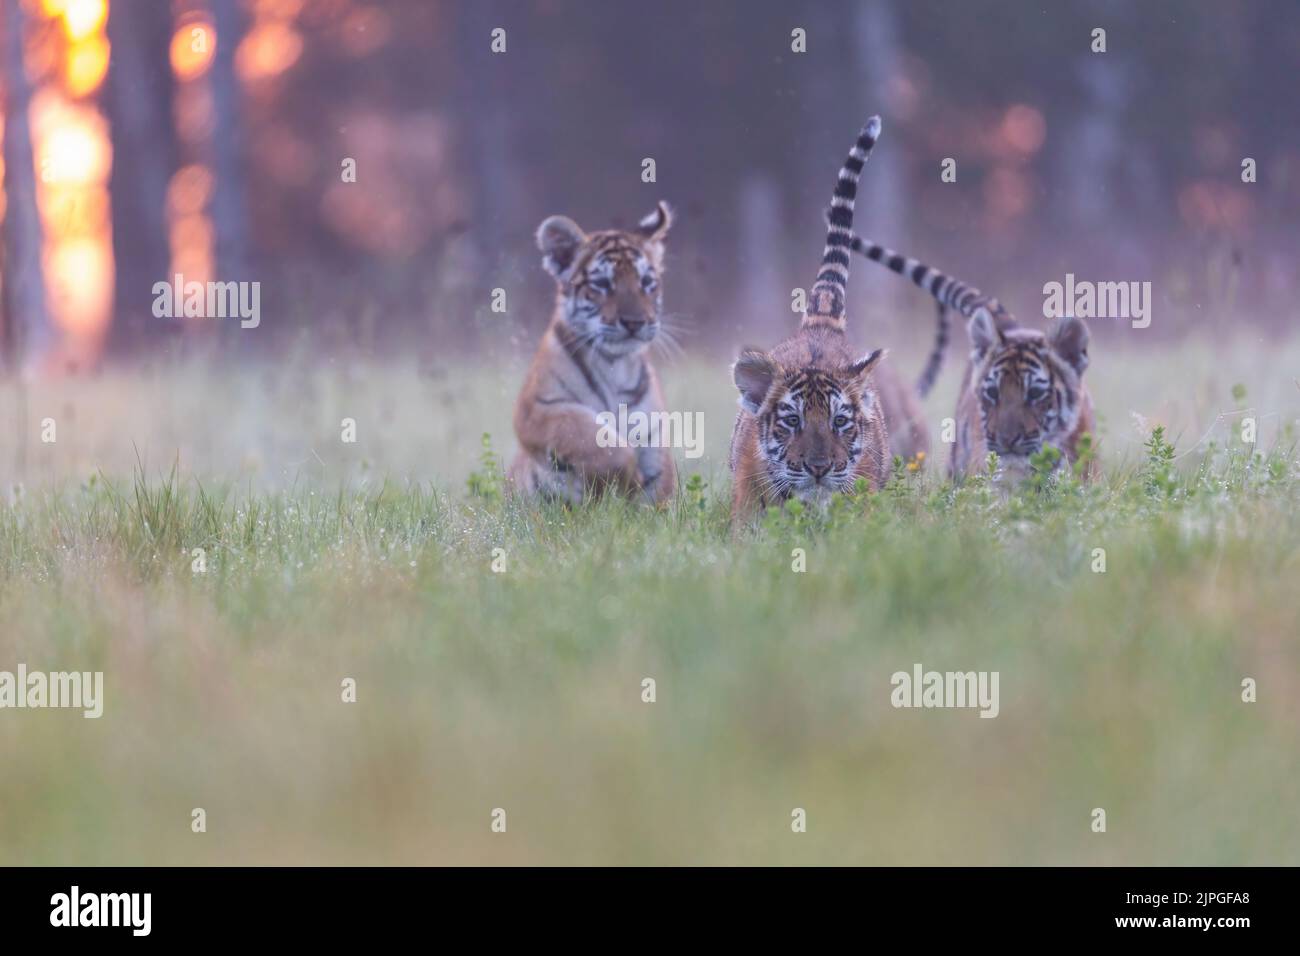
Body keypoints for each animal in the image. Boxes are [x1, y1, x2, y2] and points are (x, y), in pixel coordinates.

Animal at [508, 202, 677, 504]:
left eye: (647, 281)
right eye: (602, 283)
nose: (635, 321)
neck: (615, 365)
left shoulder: (652, 426)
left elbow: (661, 479)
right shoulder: (536, 409)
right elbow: (590, 436)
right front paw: (627, 481)